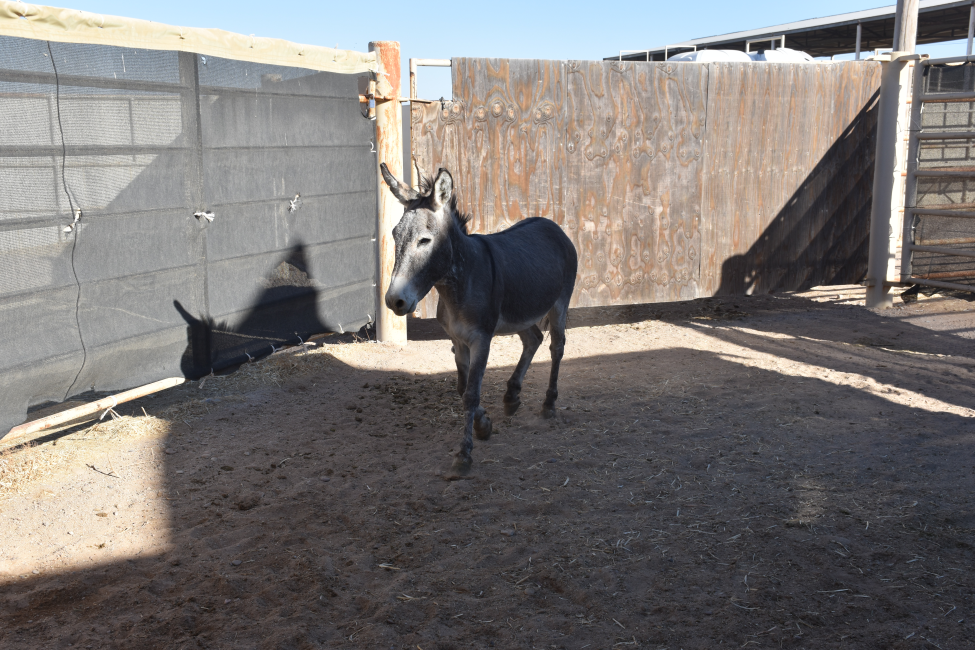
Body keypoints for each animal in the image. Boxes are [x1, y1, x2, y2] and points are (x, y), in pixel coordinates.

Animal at [380, 163, 578, 477]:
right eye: (395, 234)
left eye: (424, 240)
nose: (394, 301)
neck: (459, 282)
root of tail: (552, 225)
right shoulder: (457, 339)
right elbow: (462, 387)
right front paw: (484, 425)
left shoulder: (481, 339)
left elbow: (471, 393)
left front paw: (464, 454)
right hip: (519, 314)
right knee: (533, 339)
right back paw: (511, 397)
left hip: (559, 303)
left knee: (556, 347)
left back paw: (548, 405)